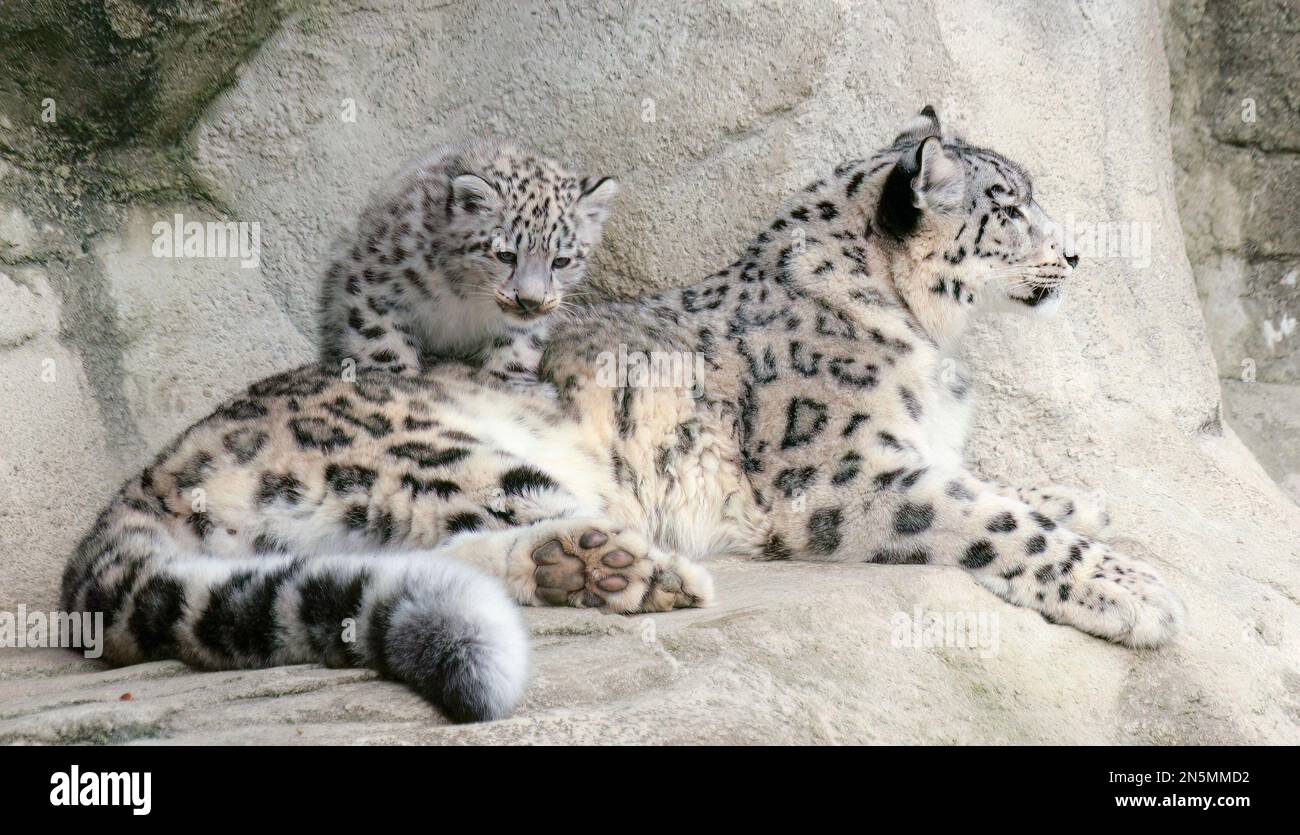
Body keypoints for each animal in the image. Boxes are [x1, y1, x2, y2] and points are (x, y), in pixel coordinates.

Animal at [318, 139, 619, 384]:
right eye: (506, 255)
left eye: (561, 261)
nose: (530, 302)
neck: (467, 298)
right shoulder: (375, 288)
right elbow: (382, 346)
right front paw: (397, 376)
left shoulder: (520, 329)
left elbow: (515, 353)